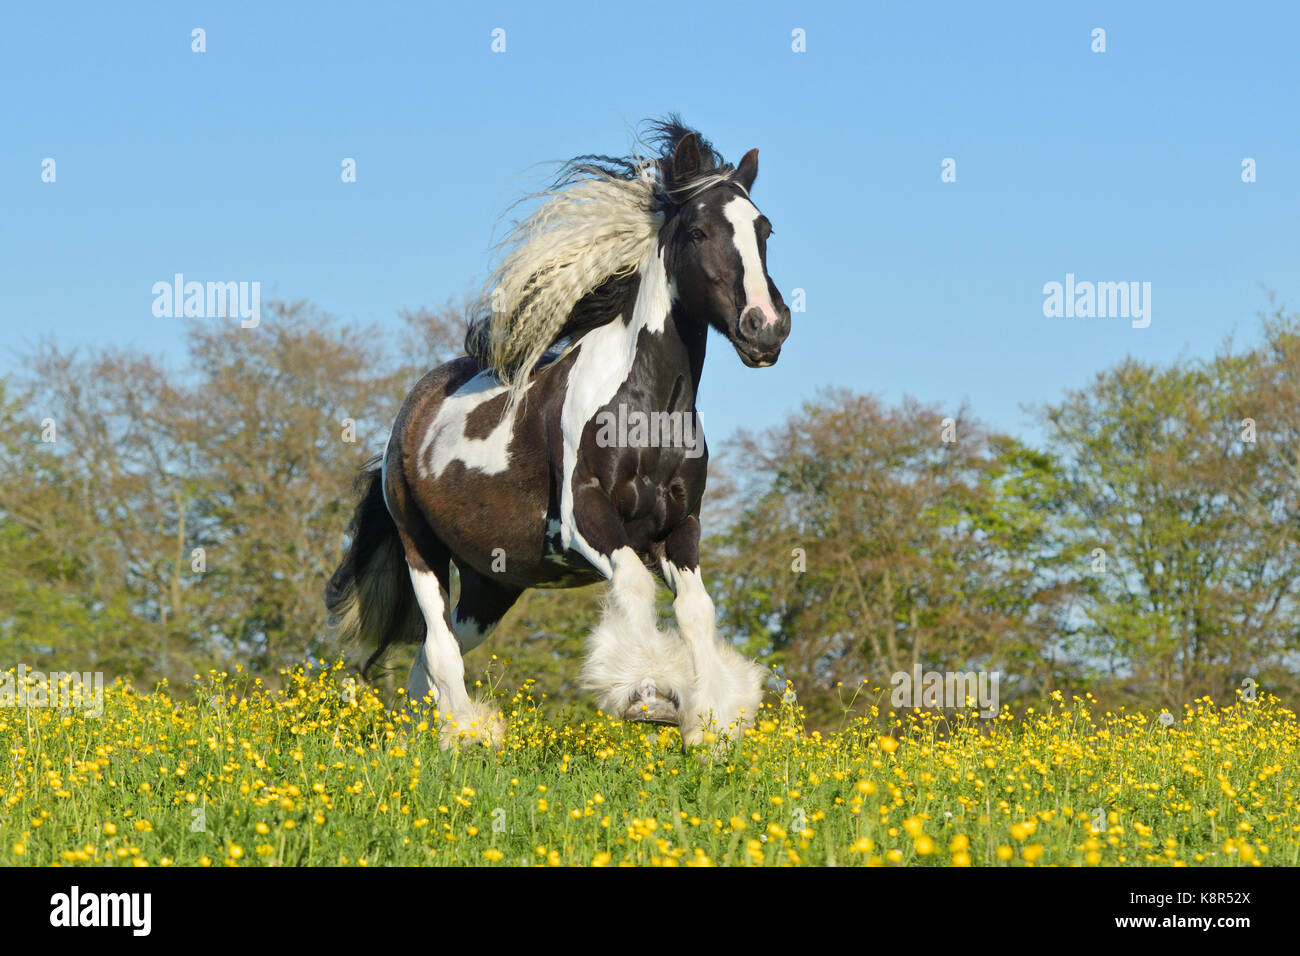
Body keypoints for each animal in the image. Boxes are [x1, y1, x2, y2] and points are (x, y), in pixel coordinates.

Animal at [326, 118, 792, 749]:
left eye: (764, 229)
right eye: (698, 231)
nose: (765, 328)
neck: (648, 410)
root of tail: (410, 412)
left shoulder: (678, 526)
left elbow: (698, 609)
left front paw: (712, 720)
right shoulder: (585, 519)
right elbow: (635, 588)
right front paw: (647, 695)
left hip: (492, 585)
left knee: (430, 658)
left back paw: (439, 738)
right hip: (419, 545)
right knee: (439, 648)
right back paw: (469, 736)